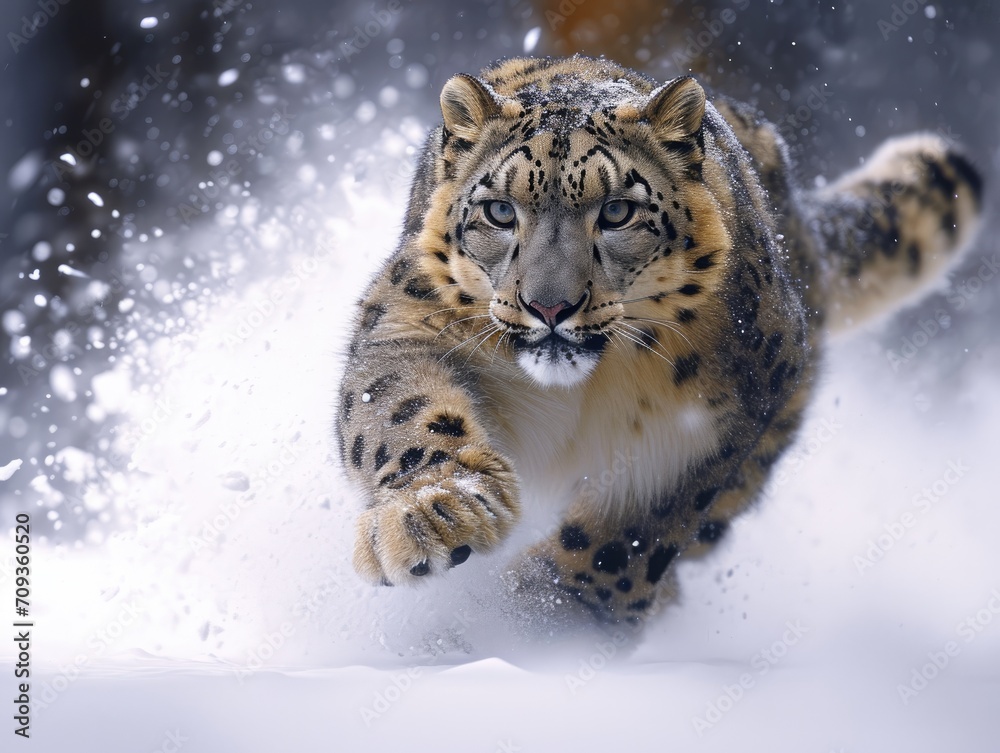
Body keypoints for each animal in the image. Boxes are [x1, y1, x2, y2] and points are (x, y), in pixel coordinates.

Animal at [335, 55, 982, 630]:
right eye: (498, 210)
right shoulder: (407, 320)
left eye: (618, 211)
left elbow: (643, 523)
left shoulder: (720, 412)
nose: (550, 306)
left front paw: (554, 610)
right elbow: (400, 411)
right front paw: (434, 516)